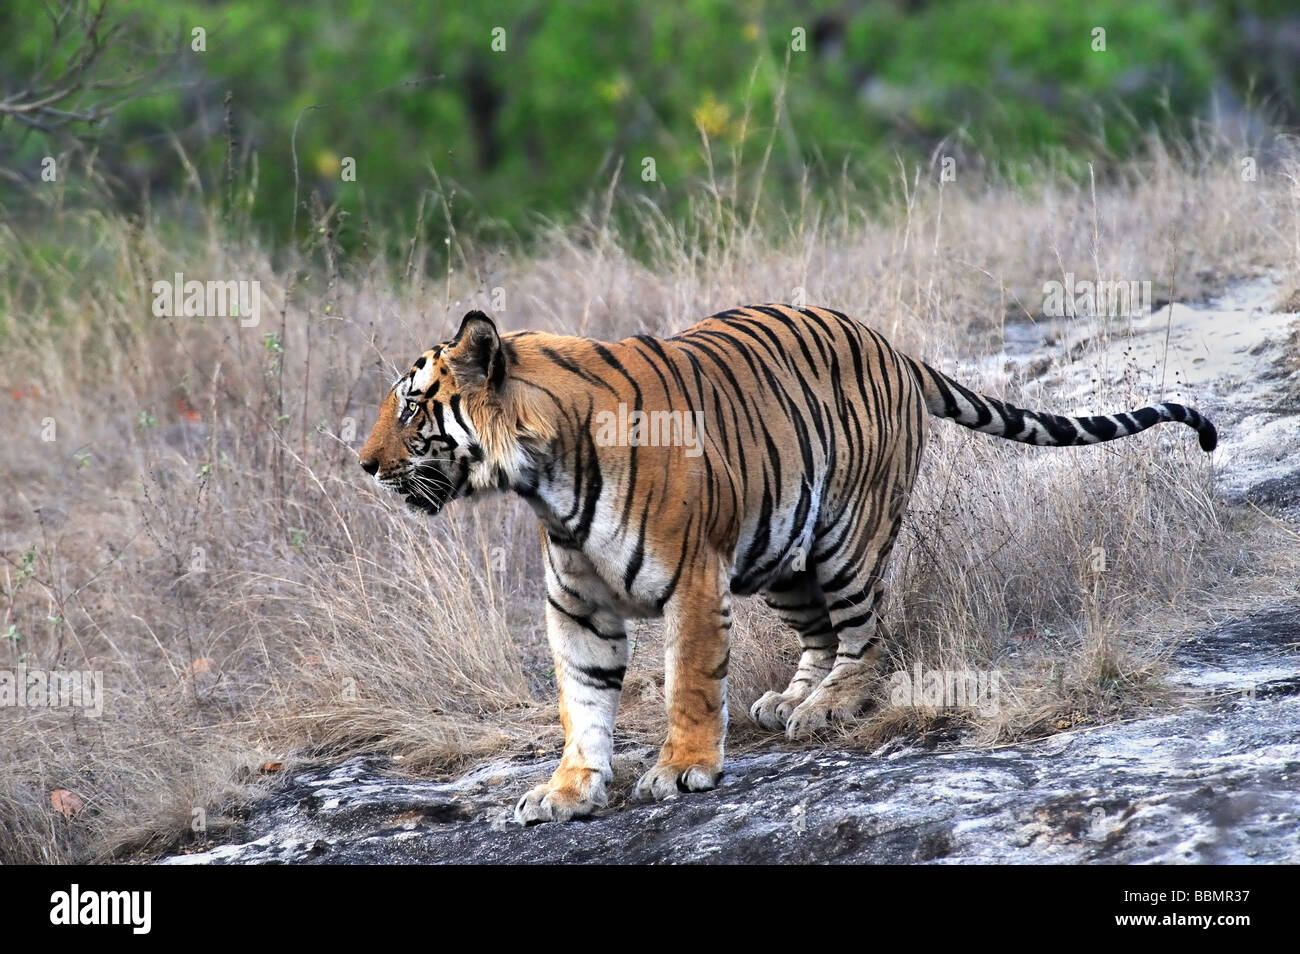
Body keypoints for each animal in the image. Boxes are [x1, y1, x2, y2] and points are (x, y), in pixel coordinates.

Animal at [358, 305, 1217, 825]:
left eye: (410, 406)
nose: (364, 465)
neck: (543, 481)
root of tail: (892, 345)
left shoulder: (694, 581)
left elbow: (691, 683)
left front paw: (683, 770)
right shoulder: (578, 607)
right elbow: (582, 703)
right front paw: (568, 791)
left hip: (847, 536)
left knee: (868, 636)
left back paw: (831, 705)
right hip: (781, 557)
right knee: (821, 635)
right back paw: (793, 699)